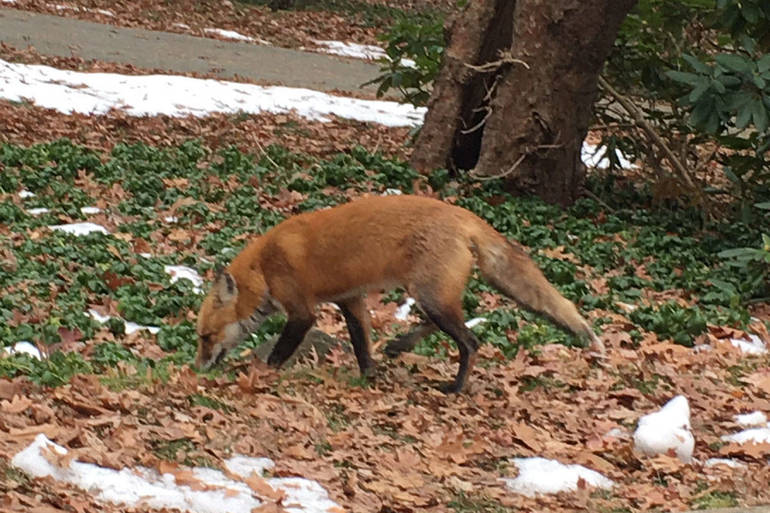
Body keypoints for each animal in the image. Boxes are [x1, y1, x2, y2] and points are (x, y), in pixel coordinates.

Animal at [195, 195, 605, 393]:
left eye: (205, 337)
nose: (198, 367)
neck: (264, 268)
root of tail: (461, 214)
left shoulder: (301, 311)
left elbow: (278, 354)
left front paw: (260, 376)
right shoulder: (351, 300)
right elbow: (362, 346)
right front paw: (368, 377)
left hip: (429, 296)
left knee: (470, 341)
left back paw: (455, 388)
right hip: (430, 295)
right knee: (446, 323)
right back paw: (400, 345)